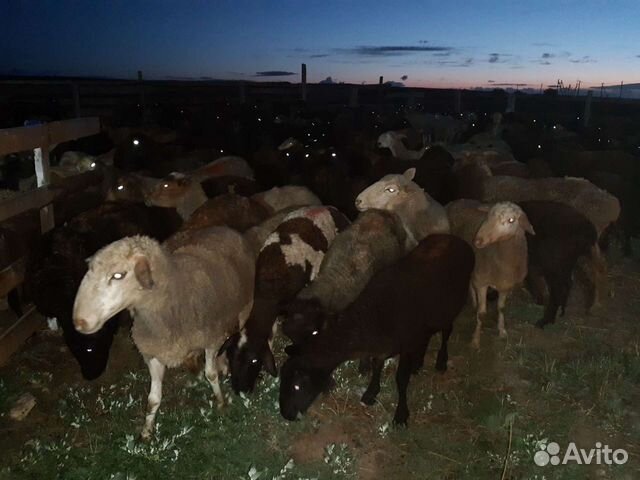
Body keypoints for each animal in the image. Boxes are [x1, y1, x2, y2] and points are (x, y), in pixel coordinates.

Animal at [73, 228, 255, 438]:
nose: (79, 322)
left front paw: (221, 402)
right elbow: (153, 398)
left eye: (118, 275)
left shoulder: (211, 339)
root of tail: (222, 228)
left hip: (242, 310)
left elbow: (211, 374)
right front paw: (146, 431)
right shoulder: (153, 354)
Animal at [279, 234, 474, 426]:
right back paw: (418, 364)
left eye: (297, 386)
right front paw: (371, 393)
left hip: (450, 308)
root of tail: (457, 239)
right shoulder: (383, 345)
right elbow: (377, 365)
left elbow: (401, 379)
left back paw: (441, 362)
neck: (370, 317)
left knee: (446, 332)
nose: (286, 415)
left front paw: (401, 415)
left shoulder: (406, 344)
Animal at [446, 200, 533, 347]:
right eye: (488, 217)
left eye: (511, 220)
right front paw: (475, 340)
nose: (477, 241)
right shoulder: (482, 282)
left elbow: (501, 308)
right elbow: (481, 314)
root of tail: (458, 201)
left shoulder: (506, 285)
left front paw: (502, 331)